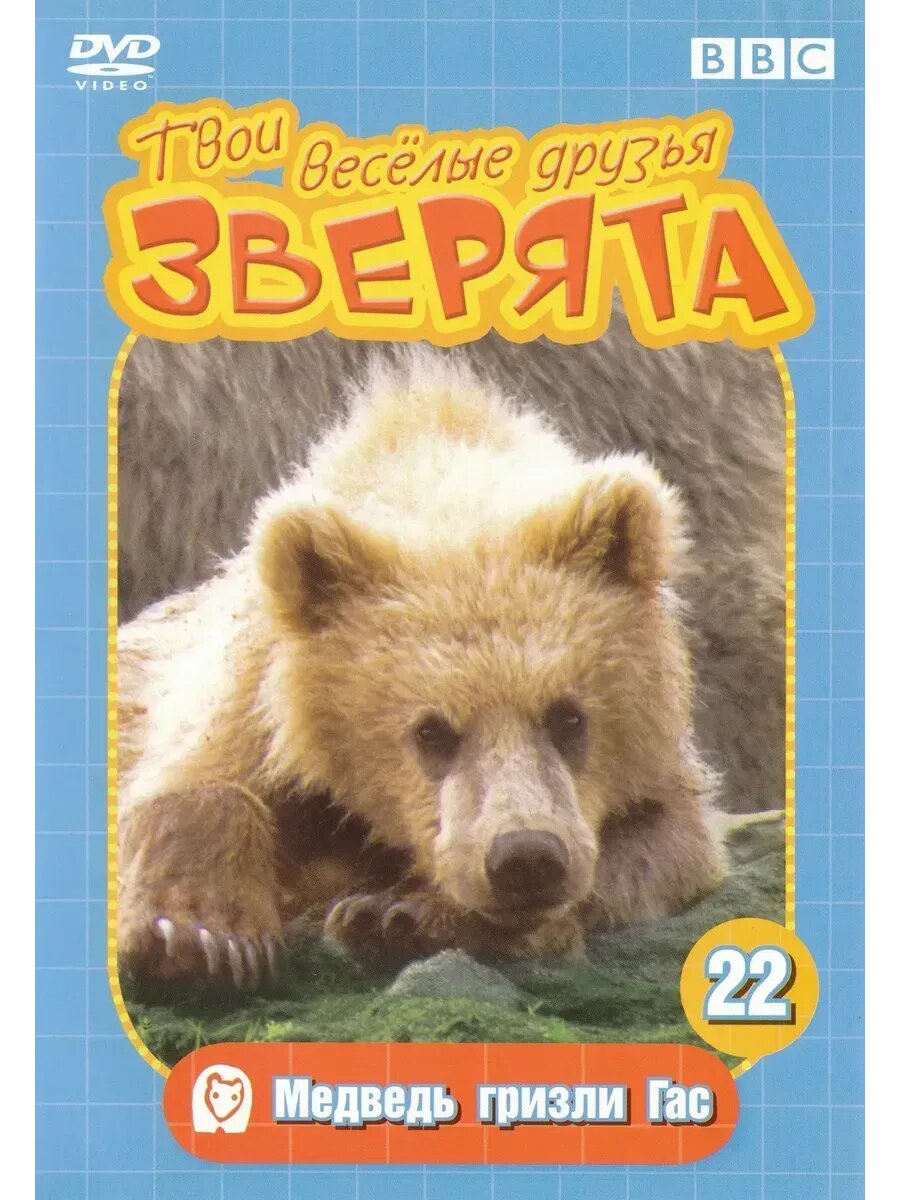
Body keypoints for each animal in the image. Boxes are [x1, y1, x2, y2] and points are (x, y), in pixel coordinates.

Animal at [117, 350, 726, 987]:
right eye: (431, 730)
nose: (526, 857)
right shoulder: (245, 699)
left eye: (568, 716)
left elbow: (659, 844)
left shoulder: (653, 777)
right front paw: (202, 937)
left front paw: (400, 914)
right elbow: (193, 786)